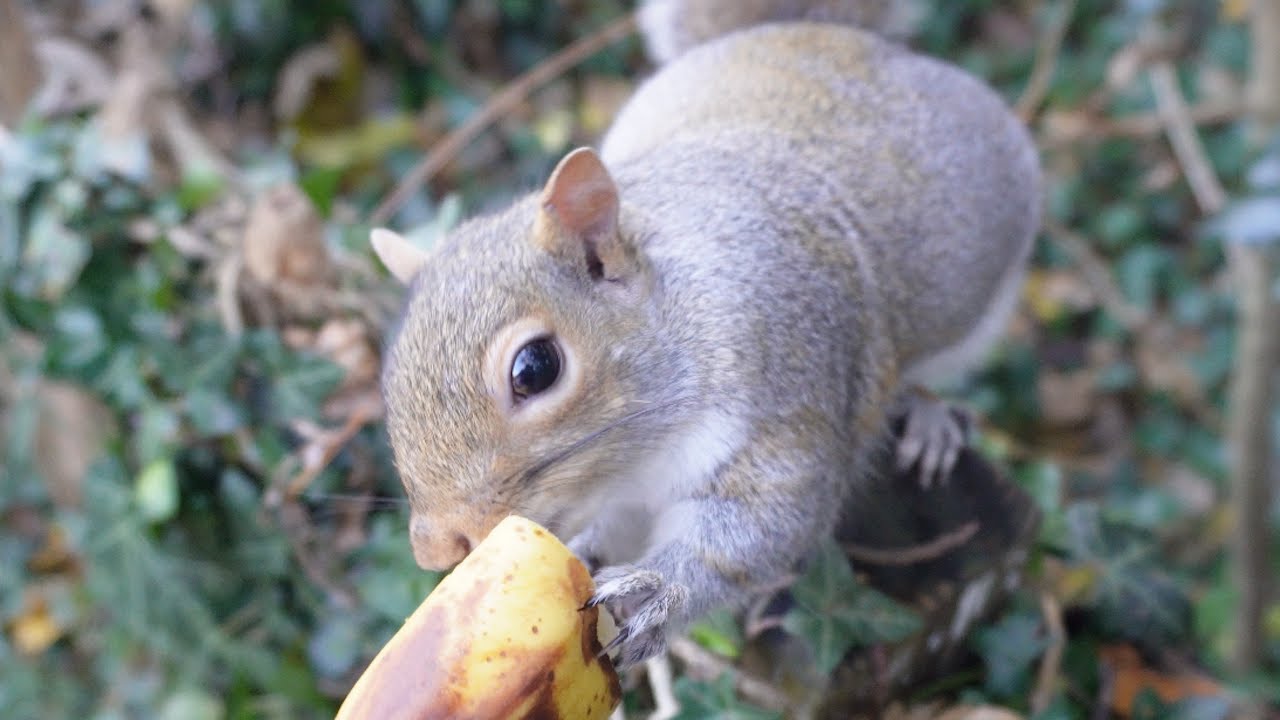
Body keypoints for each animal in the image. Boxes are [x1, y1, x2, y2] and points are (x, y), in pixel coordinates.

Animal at [370, 0, 1041, 667]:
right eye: (388, 376)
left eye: (536, 368)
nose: (435, 549)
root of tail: (810, 33)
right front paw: (585, 550)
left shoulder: (787, 406)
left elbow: (754, 531)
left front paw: (657, 590)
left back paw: (929, 420)